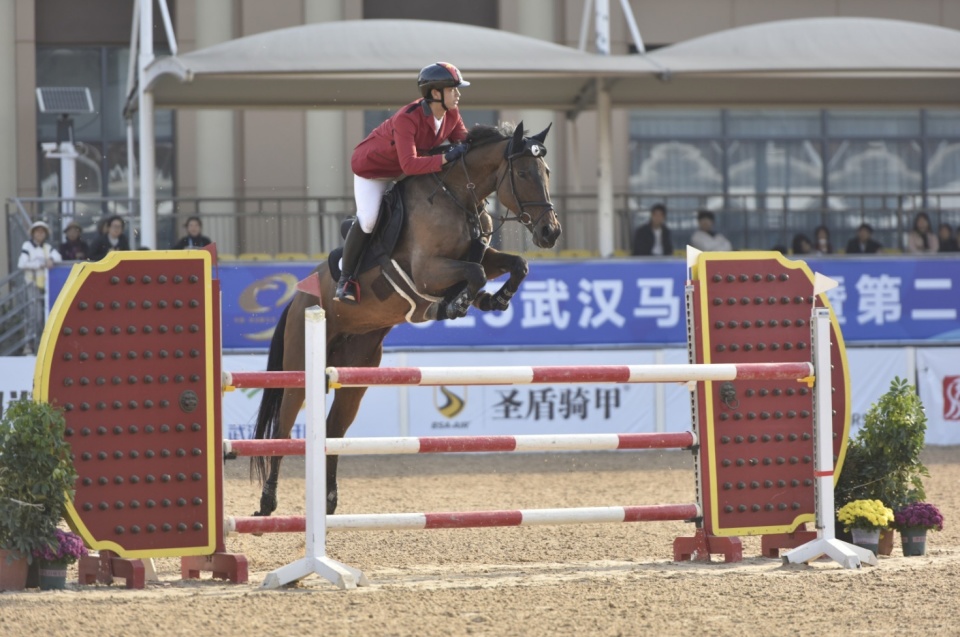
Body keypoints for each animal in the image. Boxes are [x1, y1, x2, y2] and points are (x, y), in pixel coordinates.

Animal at [251, 122, 562, 517]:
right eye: (522, 174)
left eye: (547, 172)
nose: (551, 233)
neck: (457, 196)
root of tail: (297, 300)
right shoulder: (427, 271)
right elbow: (474, 273)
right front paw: (455, 304)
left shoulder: (479, 254)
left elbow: (514, 264)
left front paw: (495, 299)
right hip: (299, 367)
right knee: (283, 428)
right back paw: (268, 501)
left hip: (358, 369)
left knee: (334, 429)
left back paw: (329, 500)